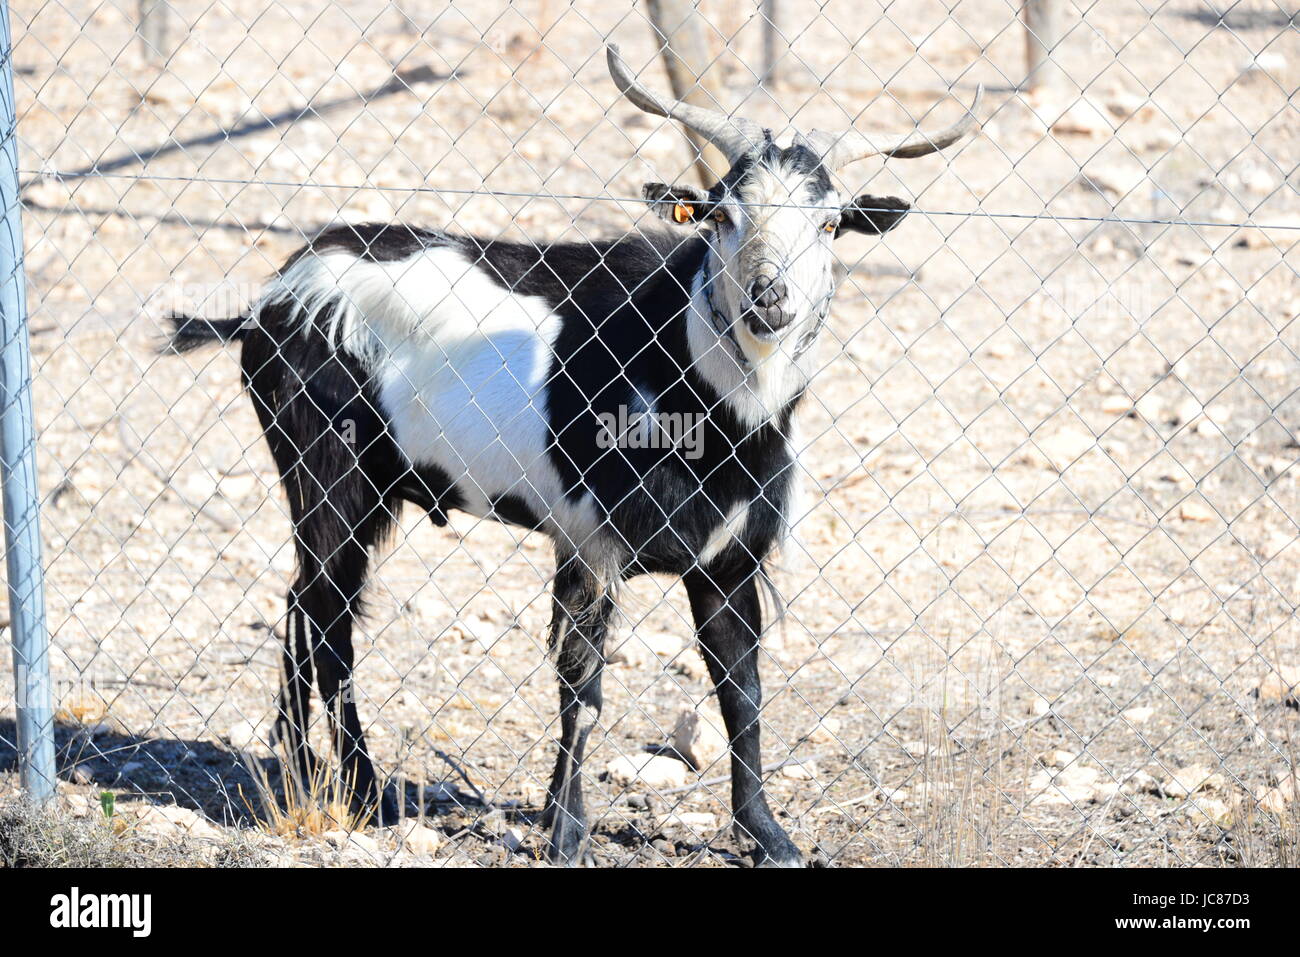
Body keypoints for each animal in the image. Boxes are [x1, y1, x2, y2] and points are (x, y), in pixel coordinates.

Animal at [166, 45, 980, 866]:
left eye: (831, 223)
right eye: (723, 212)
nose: (768, 297)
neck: (697, 394)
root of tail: (270, 298)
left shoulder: (727, 558)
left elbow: (740, 689)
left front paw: (767, 834)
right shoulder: (591, 543)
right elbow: (582, 688)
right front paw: (566, 834)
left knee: (312, 609)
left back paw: (327, 784)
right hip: (327, 471)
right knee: (323, 612)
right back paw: (347, 791)